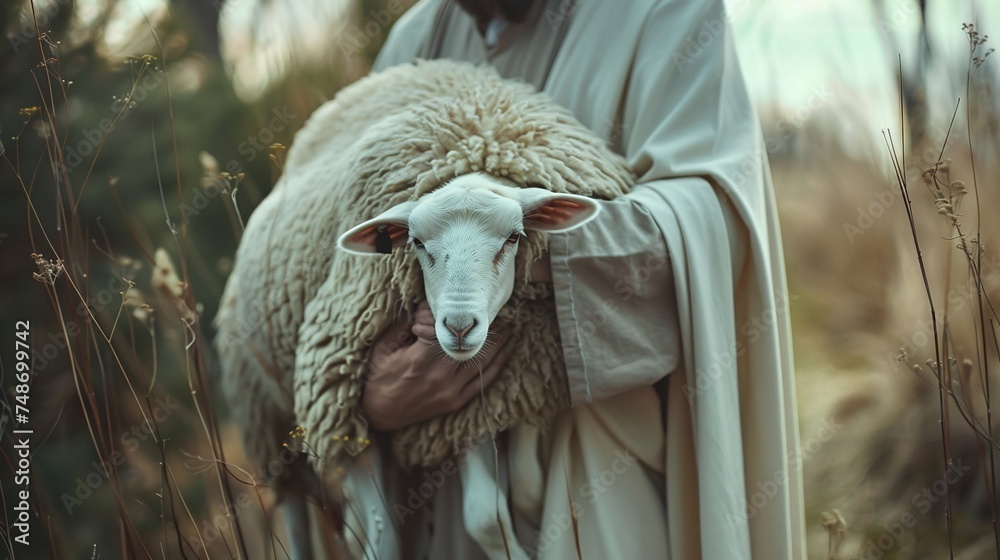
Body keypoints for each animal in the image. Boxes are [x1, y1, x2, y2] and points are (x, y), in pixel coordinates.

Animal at [214, 59, 634, 557]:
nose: (458, 325)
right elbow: (475, 518)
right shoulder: (376, 402)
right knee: (314, 522)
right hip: (281, 423)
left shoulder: (511, 379)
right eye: (415, 243)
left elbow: (518, 490)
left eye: (514, 237)